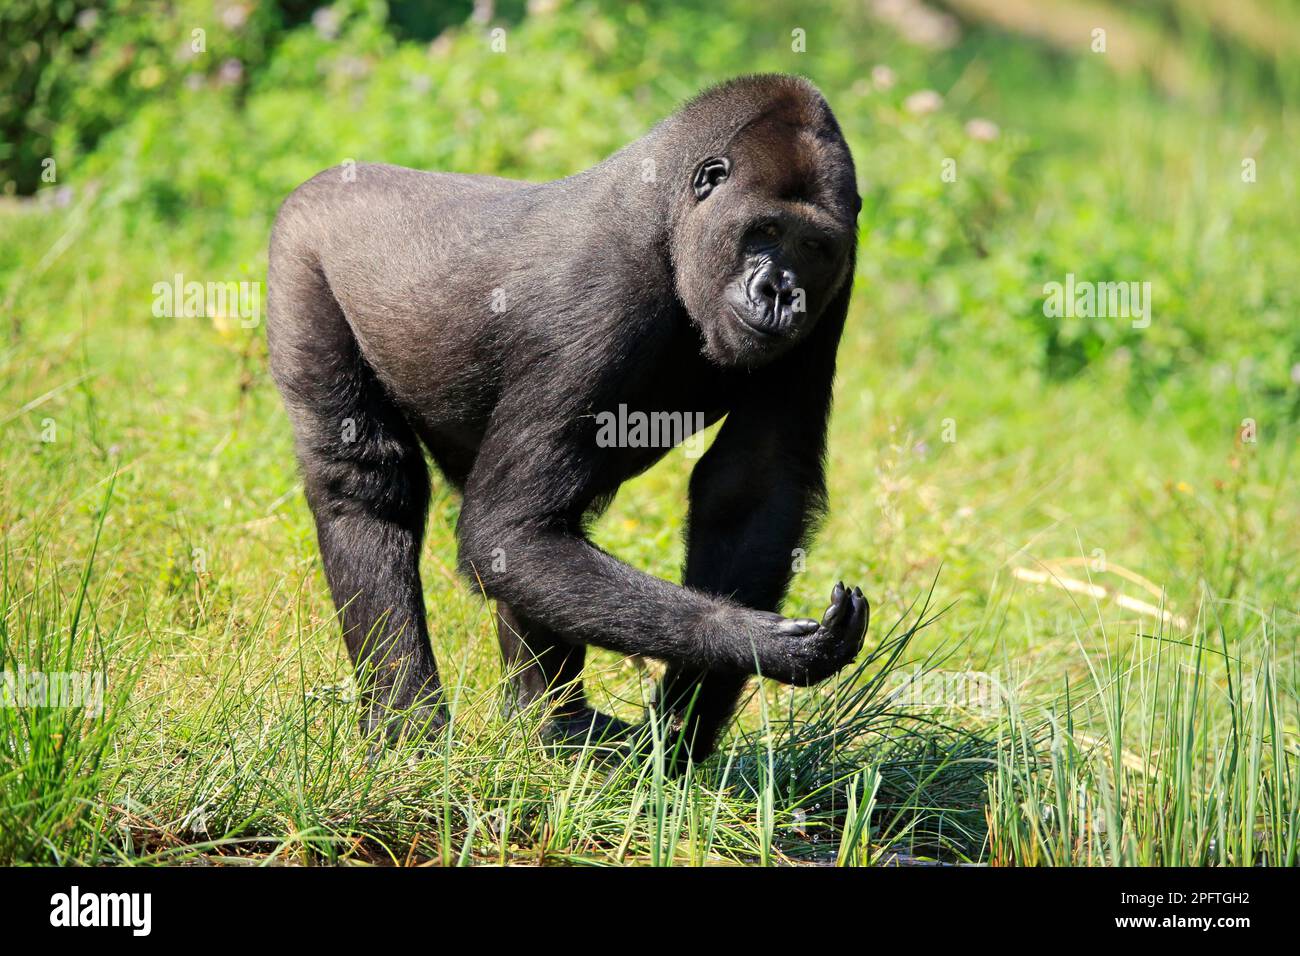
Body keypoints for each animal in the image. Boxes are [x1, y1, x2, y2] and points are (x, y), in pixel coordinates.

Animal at [266, 73, 869, 770]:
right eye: (764, 230)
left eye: (814, 248)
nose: (779, 292)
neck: (668, 214)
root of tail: (337, 177)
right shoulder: (604, 297)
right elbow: (513, 529)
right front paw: (749, 638)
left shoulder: (839, 282)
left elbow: (749, 492)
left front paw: (677, 737)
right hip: (301, 252)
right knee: (366, 486)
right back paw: (410, 721)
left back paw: (547, 724)